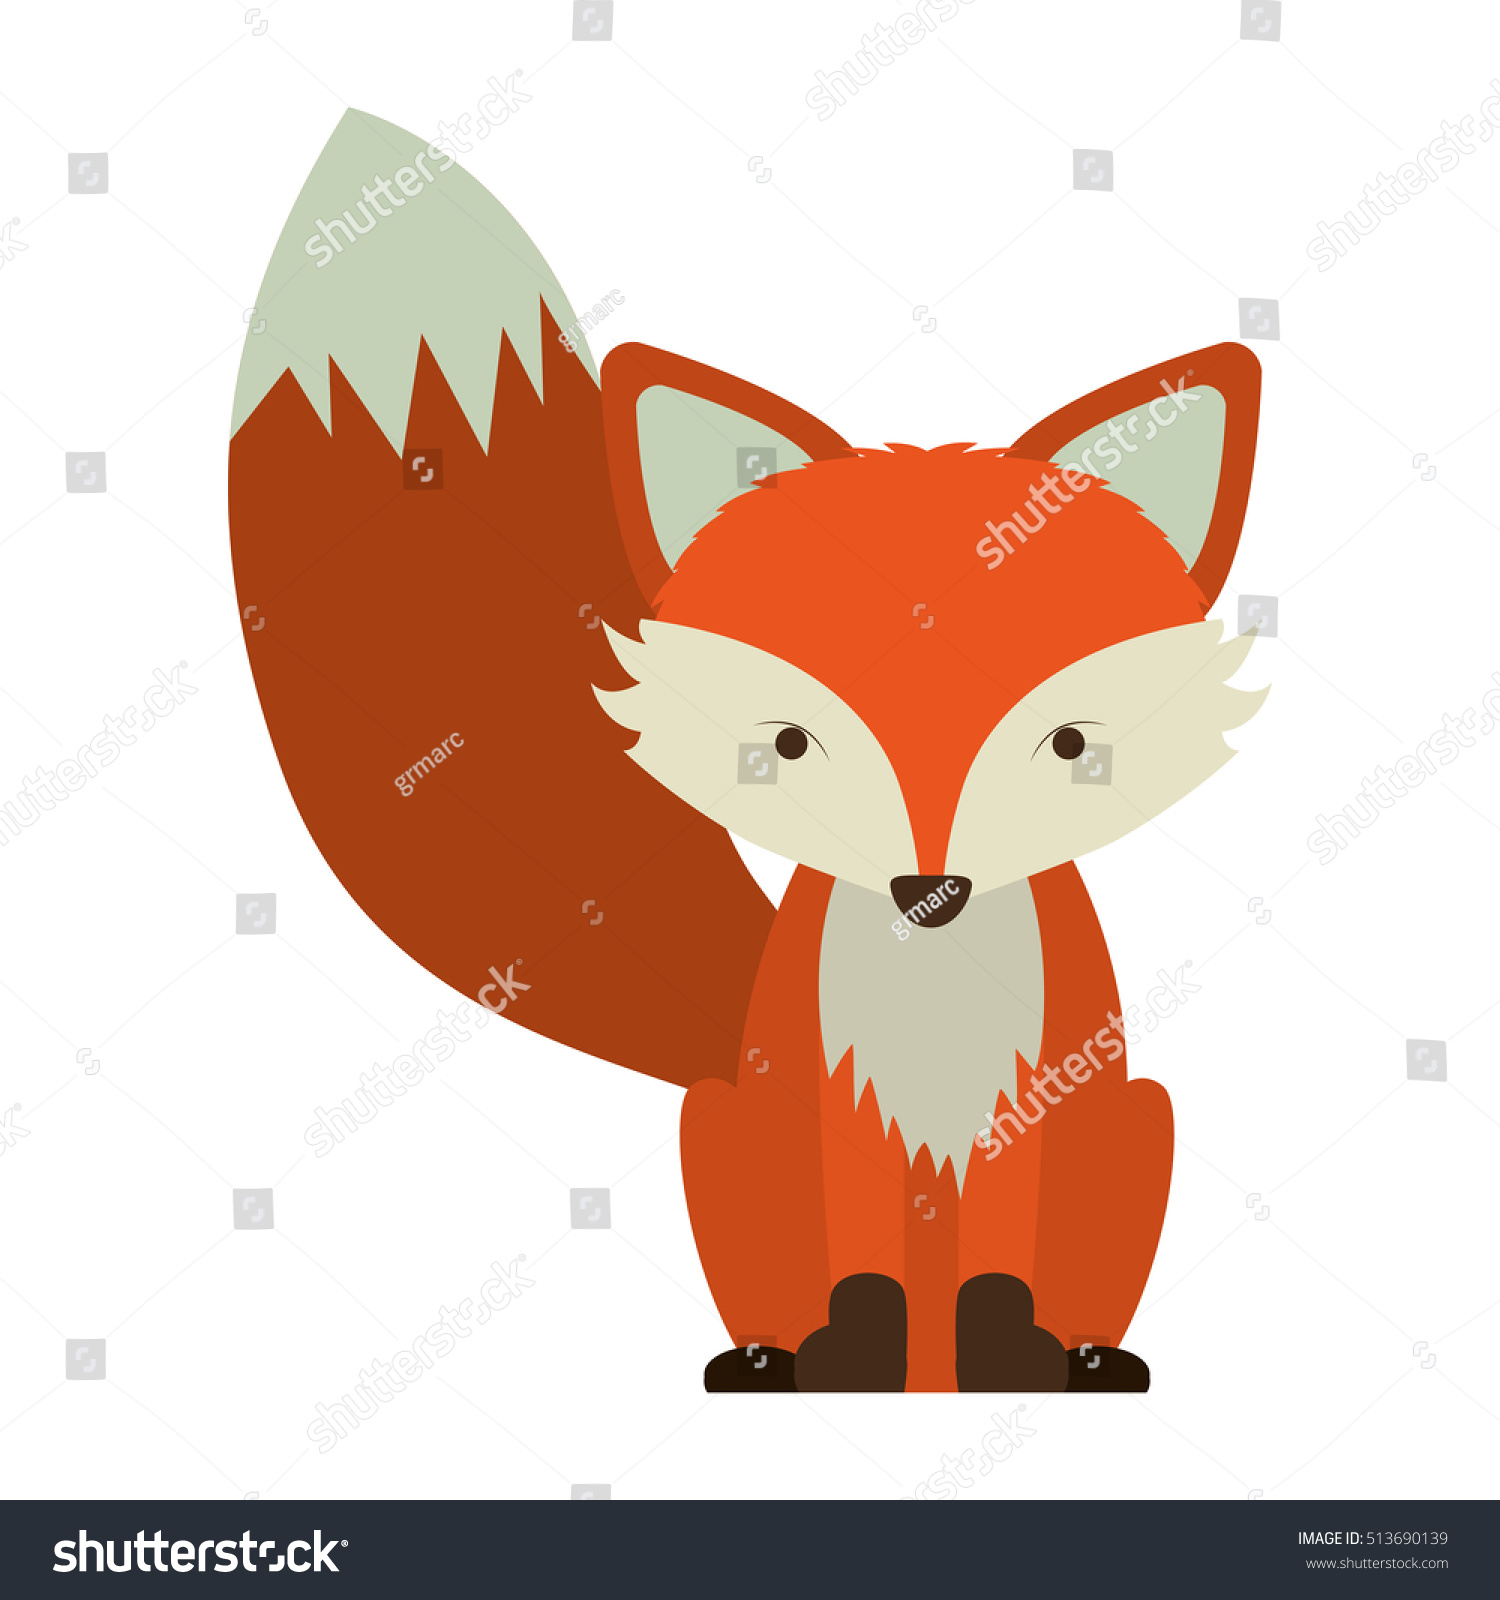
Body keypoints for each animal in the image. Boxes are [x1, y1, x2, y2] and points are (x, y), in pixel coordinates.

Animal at [229, 111, 1267, 1395]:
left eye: (1071, 743)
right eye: (787, 743)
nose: (930, 892)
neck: (932, 995)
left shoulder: (1036, 1104)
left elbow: (999, 1262)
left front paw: (1007, 1341)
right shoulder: (831, 1112)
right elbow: (862, 1259)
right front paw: (856, 1341)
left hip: (1137, 1116)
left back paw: (1067, 1358)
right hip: (721, 1123)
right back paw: (784, 1358)